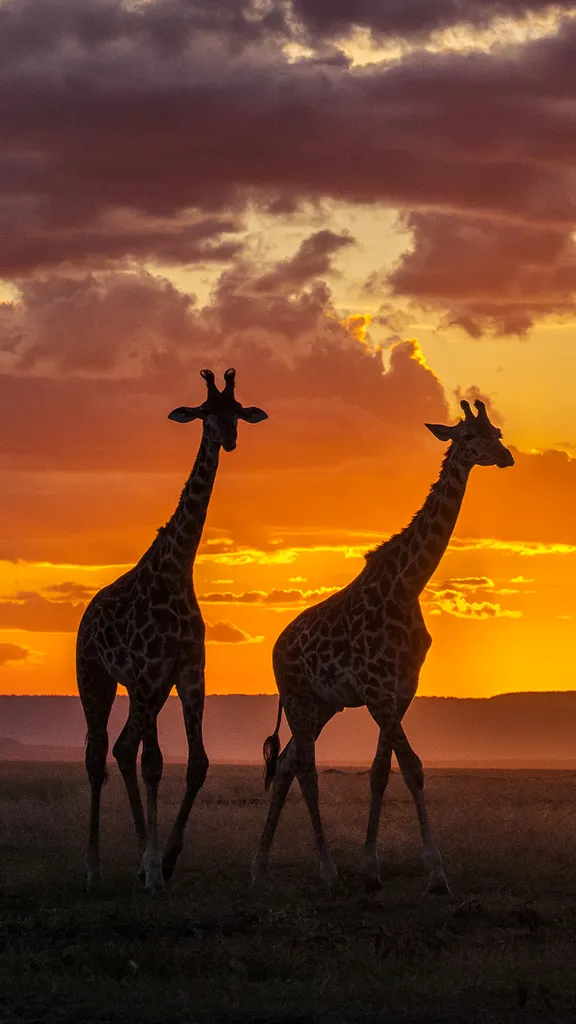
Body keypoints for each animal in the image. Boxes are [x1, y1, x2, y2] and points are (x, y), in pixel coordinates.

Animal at [77, 368, 267, 891]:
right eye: (204, 413)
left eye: (237, 410)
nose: (230, 439)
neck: (177, 569)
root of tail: (86, 614)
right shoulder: (147, 672)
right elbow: (149, 761)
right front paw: (152, 865)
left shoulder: (187, 671)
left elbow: (195, 762)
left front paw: (164, 860)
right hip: (96, 678)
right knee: (101, 754)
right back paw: (95, 867)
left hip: (147, 689)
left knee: (128, 750)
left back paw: (139, 863)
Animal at [253, 399, 514, 893]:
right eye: (469, 436)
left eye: (498, 432)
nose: (506, 457)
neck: (407, 584)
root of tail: (275, 648)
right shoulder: (376, 689)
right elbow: (411, 766)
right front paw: (435, 872)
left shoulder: (402, 688)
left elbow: (381, 772)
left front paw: (372, 867)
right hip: (297, 697)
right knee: (306, 770)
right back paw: (325, 869)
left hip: (323, 704)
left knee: (287, 765)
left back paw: (261, 861)